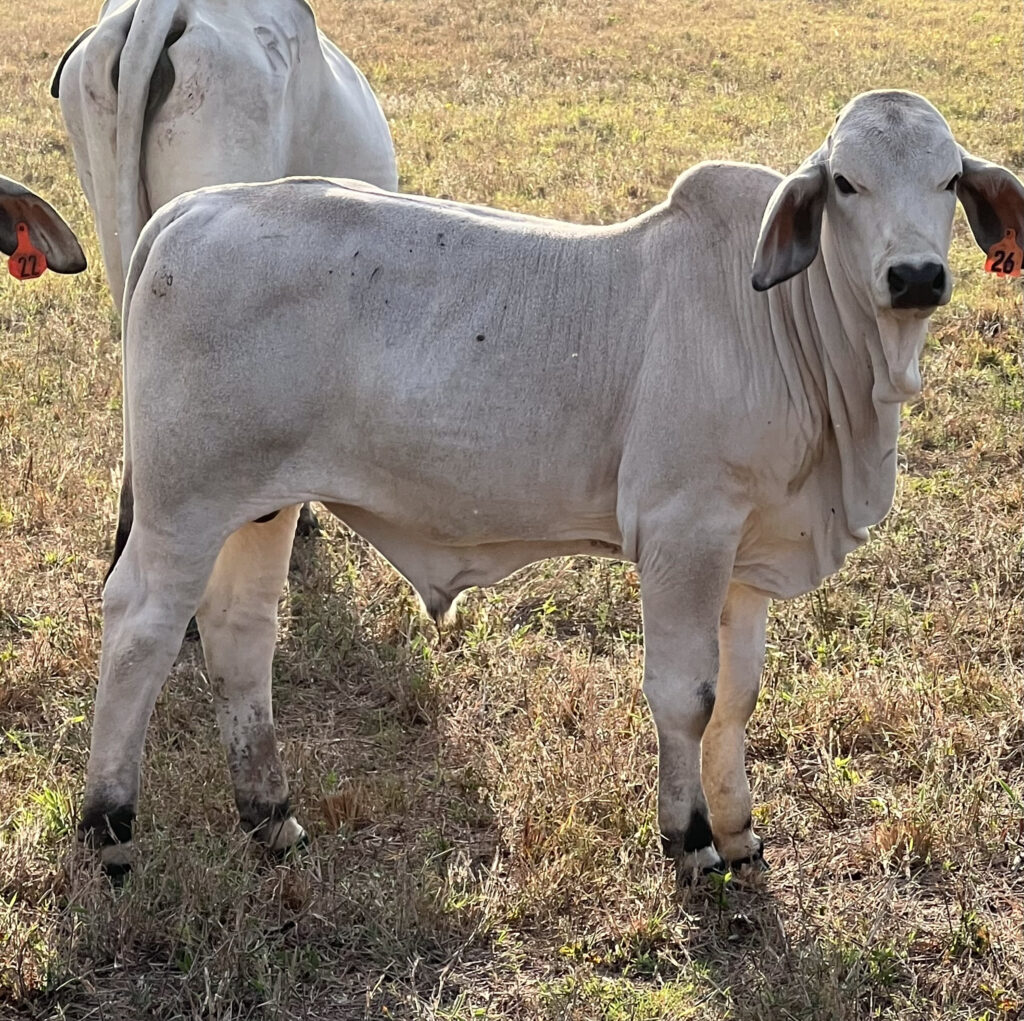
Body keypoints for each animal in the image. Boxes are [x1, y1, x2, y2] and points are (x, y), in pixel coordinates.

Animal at [77, 91, 1024, 879]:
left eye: (948, 178)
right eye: (846, 183)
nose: (915, 276)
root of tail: (194, 209)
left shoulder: (749, 554)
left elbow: (740, 697)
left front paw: (741, 831)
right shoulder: (684, 532)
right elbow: (688, 694)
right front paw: (690, 839)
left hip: (261, 504)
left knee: (240, 635)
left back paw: (271, 816)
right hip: (182, 506)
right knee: (141, 628)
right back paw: (109, 824)